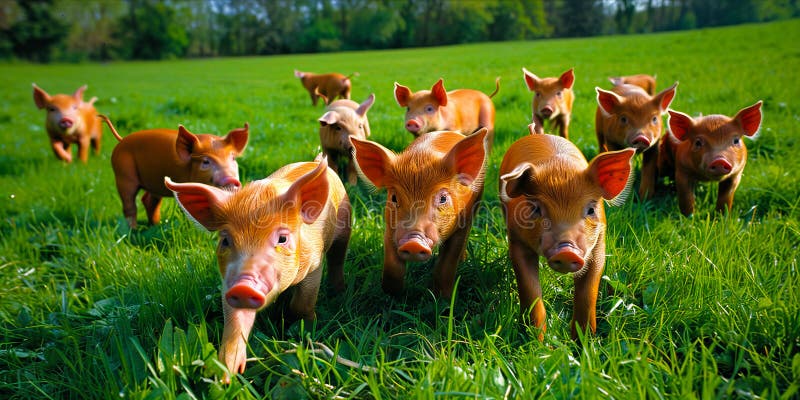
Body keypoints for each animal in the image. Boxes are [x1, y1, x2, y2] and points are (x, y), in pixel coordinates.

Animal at [99, 115, 248, 228]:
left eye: (233, 158)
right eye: (206, 162)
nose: (230, 179)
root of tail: (122, 140)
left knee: (149, 201)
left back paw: (154, 225)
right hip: (123, 175)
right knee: (129, 205)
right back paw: (134, 231)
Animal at [164, 158, 351, 380]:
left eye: (282, 238)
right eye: (225, 240)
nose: (244, 286)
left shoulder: (314, 264)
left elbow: (302, 303)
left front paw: (308, 327)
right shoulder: (228, 282)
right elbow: (235, 320)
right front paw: (226, 373)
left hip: (345, 224)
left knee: (338, 258)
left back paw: (339, 291)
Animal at [350, 128, 490, 298]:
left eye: (443, 198)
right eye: (394, 197)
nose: (413, 242)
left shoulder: (462, 223)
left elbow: (446, 265)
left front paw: (442, 298)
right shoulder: (391, 229)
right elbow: (392, 267)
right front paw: (392, 296)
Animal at [499, 129, 635, 340]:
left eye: (590, 210)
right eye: (536, 208)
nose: (566, 251)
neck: (560, 170)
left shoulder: (598, 244)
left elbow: (588, 294)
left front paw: (583, 343)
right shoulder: (517, 240)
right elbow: (530, 290)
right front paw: (536, 342)